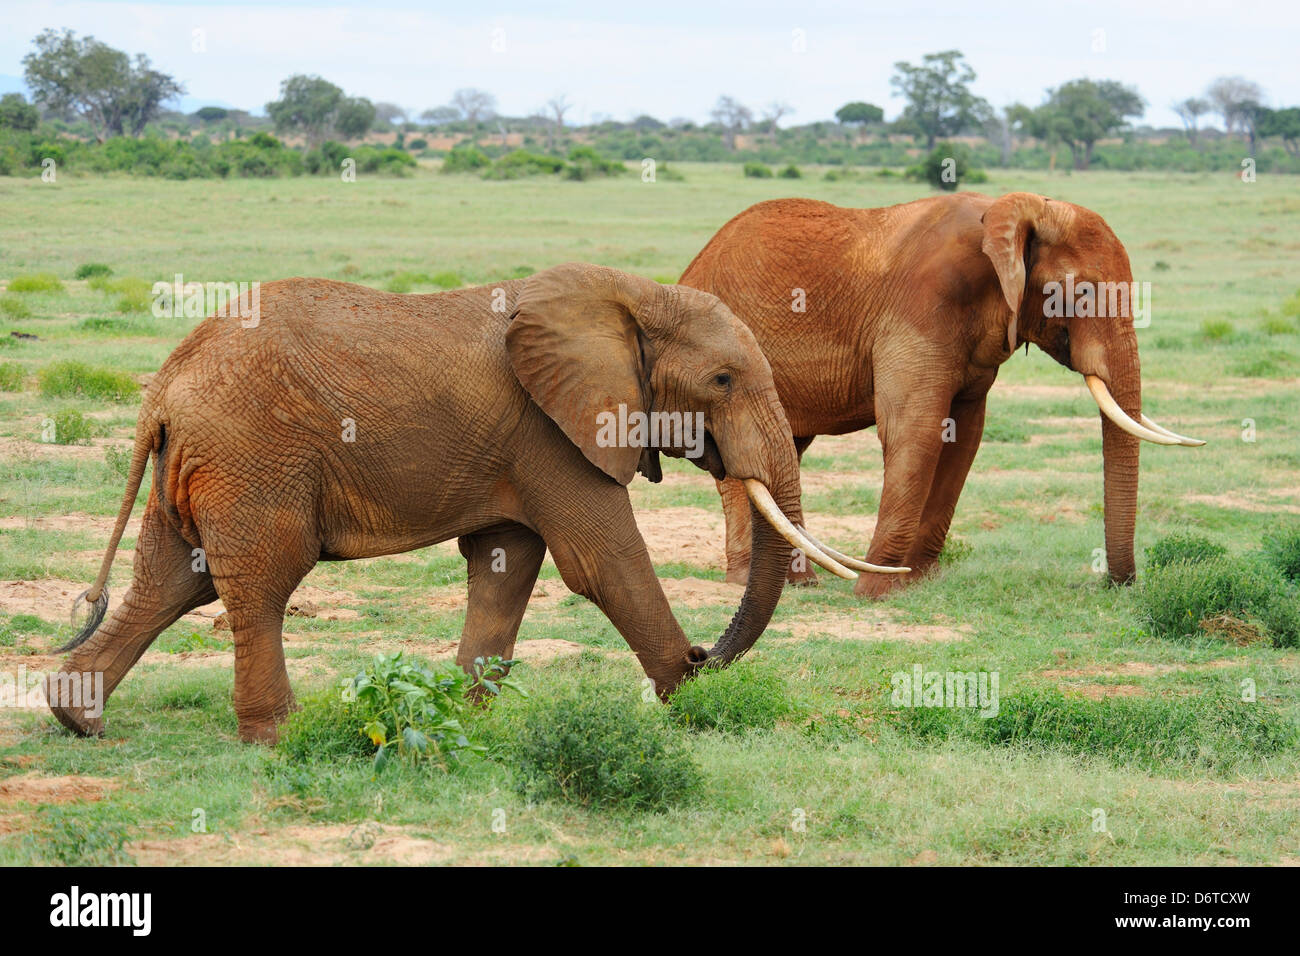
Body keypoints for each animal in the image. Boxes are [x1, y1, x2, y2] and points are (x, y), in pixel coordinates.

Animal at [47, 262, 897, 744]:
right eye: (722, 381)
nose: (702, 652)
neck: (633, 298)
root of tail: (163, 387)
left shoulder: (524, 445)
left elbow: (506, 563)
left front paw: (460, 715)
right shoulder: (550, 431)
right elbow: (601, 559)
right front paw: (690, 704)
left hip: (203, 464)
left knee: (170, 581)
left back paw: (75, 716)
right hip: (251, 456)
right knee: (260, 581)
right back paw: (277, 736)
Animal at [679, 192, 1203, 599]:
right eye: (1083, 294)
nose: (1116, 584)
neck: (1009, 215)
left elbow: (963, 438)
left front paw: (914, 582)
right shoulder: (919, 310)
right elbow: (915, 432)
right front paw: (875, 591)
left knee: (785, 451)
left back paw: (798, 584)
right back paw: (750, 580)